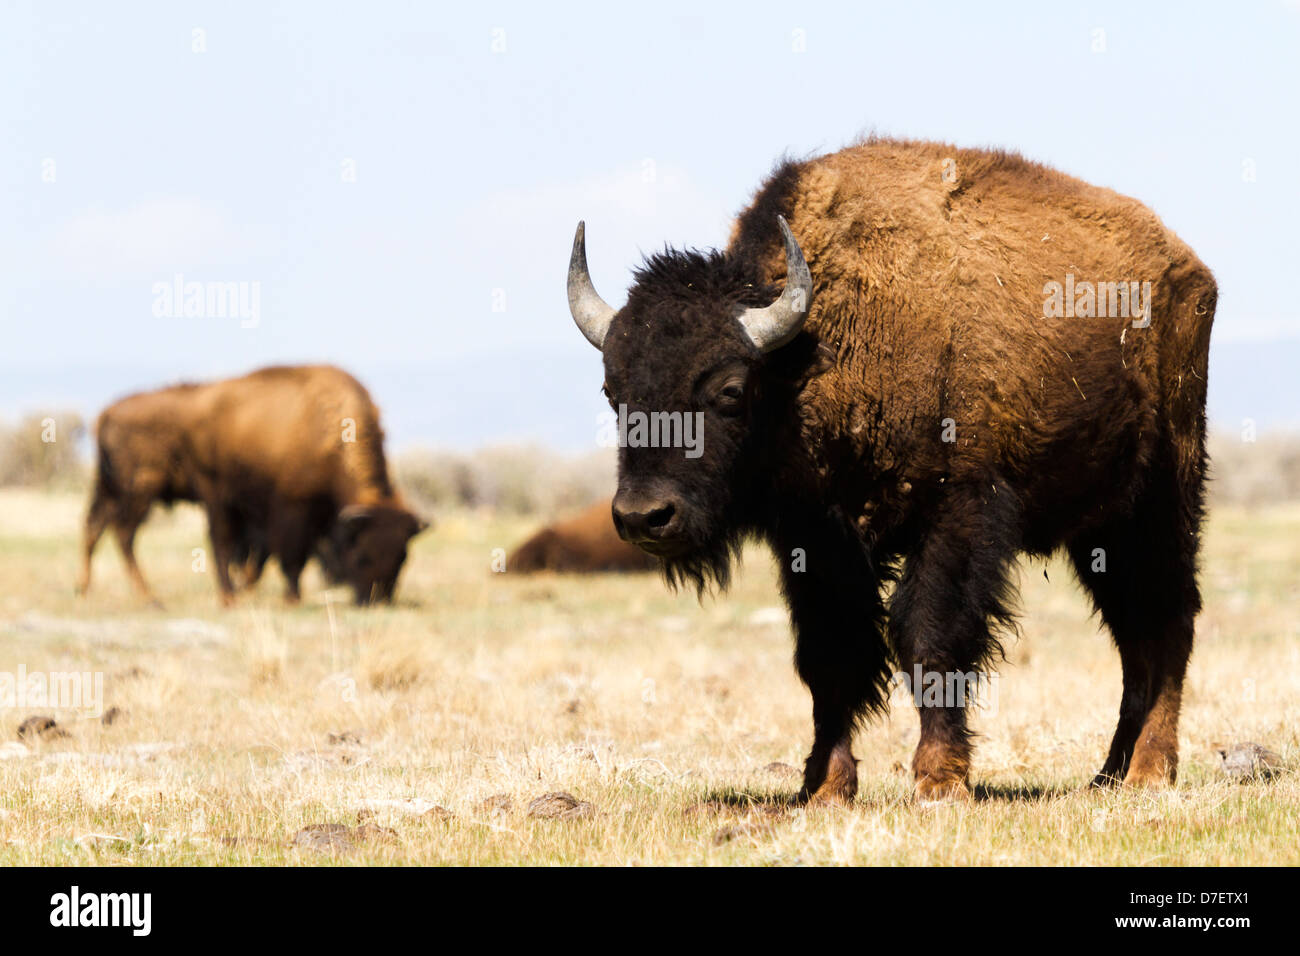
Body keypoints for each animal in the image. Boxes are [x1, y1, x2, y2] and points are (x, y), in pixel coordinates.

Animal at [78, 364, 426, 606]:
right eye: (363, 554)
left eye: (402, 558)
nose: (377, 600)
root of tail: (105, 414)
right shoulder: (289, 508)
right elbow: (287, 555)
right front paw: (290, 598)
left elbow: (266, 557)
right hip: (157, 492)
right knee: (138, 535)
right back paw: (164, 597)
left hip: (111, 490)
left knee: (94, 526)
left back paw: (85, 587)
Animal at [566, 137, 1216, 803]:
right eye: (613, 392)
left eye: (729, 390)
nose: (645, 516)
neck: (818, 349)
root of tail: (1188, 268)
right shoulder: (815, 540)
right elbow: (831, 653)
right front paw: (825, 785)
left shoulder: (958, 513)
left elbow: (930, 635)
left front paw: (940, 778)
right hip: (1098, 531)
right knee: (1133, 631)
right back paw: (1109, 774)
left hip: (1162, 496)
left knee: (1167, 618)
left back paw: (1148, 771)